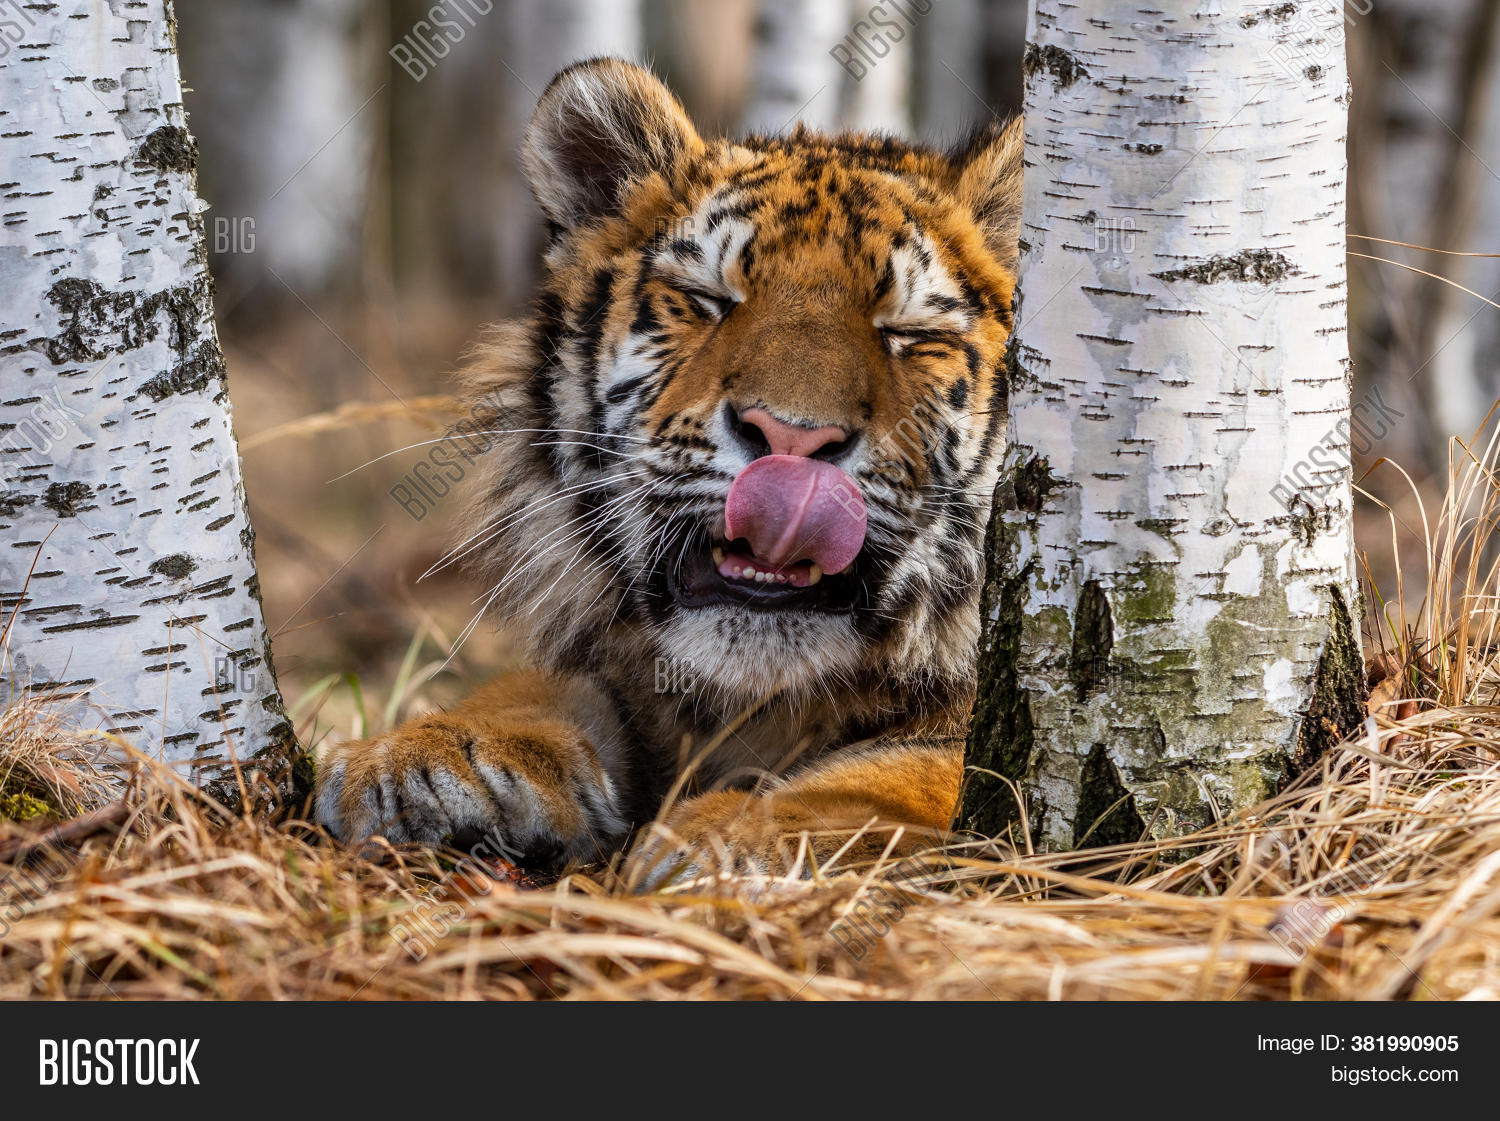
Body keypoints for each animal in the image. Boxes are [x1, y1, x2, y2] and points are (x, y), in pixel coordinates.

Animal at [313, 58, 1022, 884]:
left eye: (909, 333)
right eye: (707, 300)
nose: (792, 434)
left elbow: (924, 769)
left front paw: (731, 837)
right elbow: (541, 684)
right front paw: (422, 757)